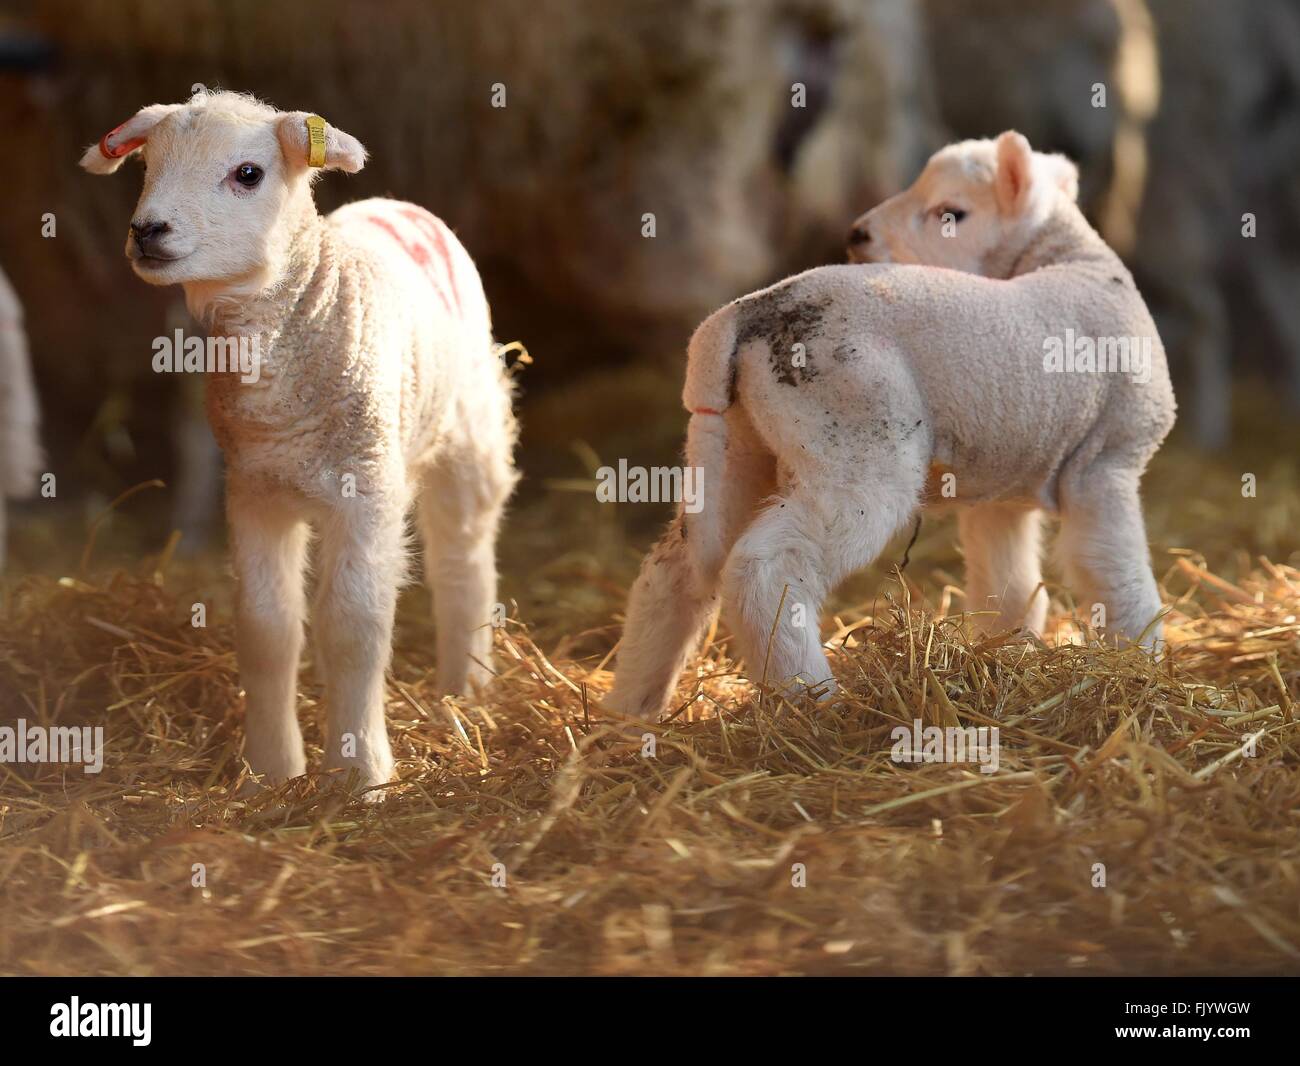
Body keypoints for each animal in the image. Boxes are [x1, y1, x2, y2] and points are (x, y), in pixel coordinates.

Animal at [80, 90, 518, 795]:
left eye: (248, 174)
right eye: (147, 164)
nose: (147, 230)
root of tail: (396, 202)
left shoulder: (367, 487)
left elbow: (354, 626)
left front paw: (359, 773)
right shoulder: (254, 490)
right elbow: (267, 628)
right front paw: (271, 770)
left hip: (466, 430)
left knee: (463, 557)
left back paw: (465, 692)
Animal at [607, 131, 1176, 721]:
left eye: (951, 213)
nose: (858, 234)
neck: (1068, 259)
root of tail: (740, 316)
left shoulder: (1002, 491)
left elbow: (1009, 585)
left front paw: (1005, 653)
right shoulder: (1107, 462)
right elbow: (1117, 575)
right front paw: (1143, 666)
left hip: (730, 443)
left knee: (677, 569)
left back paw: (628, 713)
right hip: (855, 442)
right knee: (768, 566)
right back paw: (815, 703)